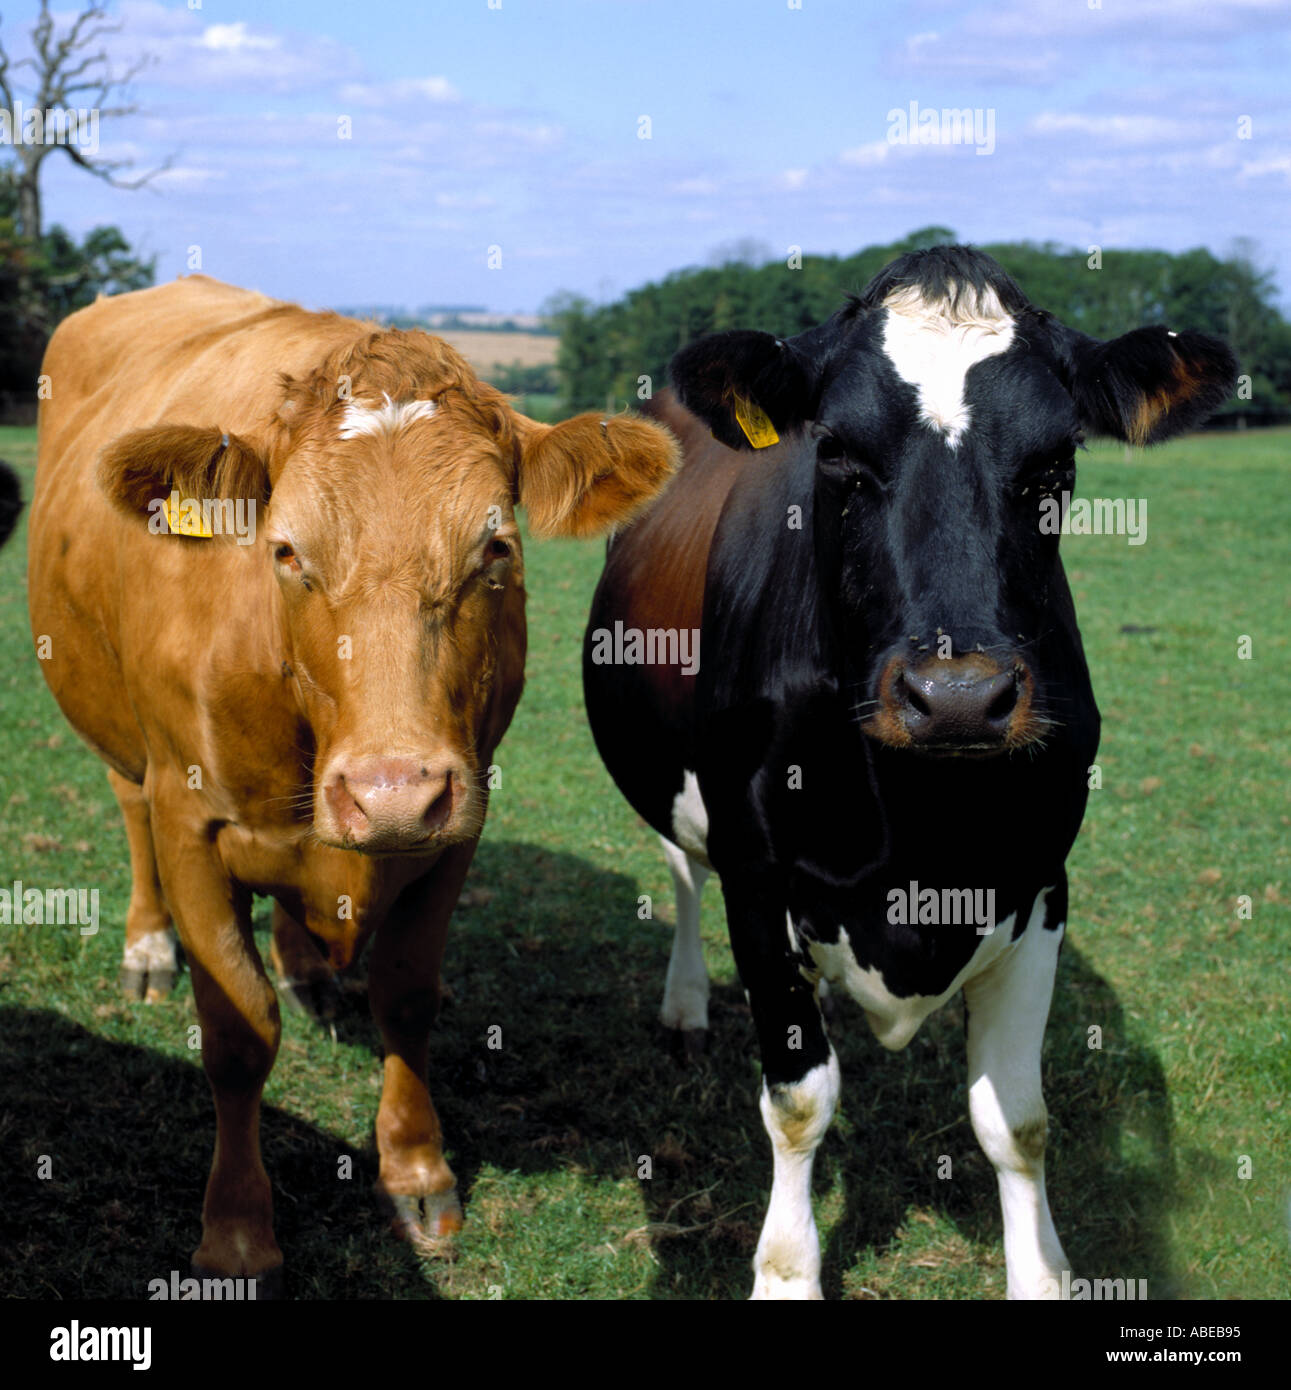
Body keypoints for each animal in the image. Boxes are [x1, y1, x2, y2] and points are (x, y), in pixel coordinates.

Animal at [27, 274, 677, 1291]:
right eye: (287, 551)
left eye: (495, 549)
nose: (392, 790)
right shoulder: (190, 820)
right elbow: (238, 1031)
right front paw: (237, 1228)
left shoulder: (458, 825)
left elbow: (406, 997)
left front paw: (416, 1173)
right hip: (117, 732)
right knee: (127, 808)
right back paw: (148, 949)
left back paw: (310, 970)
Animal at [583, 245, 1237, 1299]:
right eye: (837, 455)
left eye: (1055, 464)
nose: (959, 696)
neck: (917, 828)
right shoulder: (759, 880)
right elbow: (799, 1102)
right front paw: (785, 1275)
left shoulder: (1040, 885)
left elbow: (1017, 1121)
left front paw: (1040, 1273)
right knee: (683, 871)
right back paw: (683, 1008)